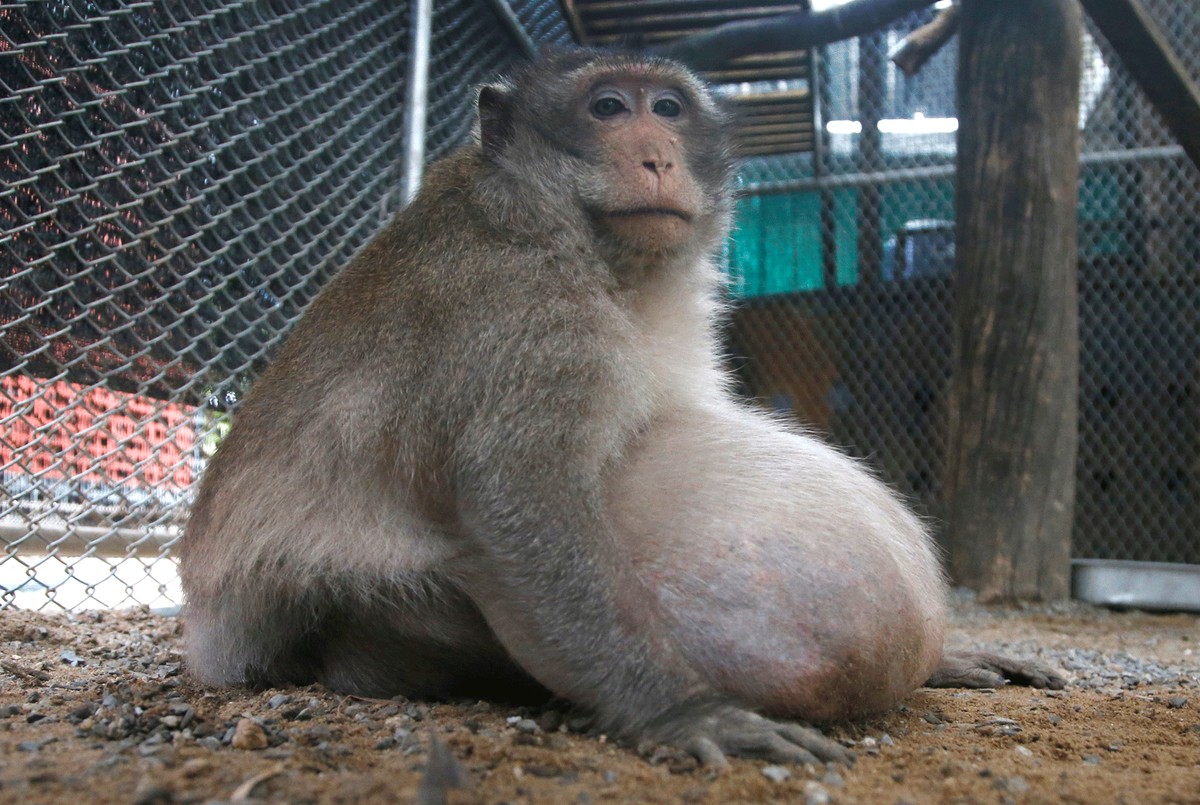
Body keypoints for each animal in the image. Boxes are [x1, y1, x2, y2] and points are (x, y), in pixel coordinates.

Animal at [179, 48, 1064, 768]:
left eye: (666, 108)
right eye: (607, 107)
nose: (655, 154)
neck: (584, 245)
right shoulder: (523, 315)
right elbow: (515, 498)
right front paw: (680, 711)